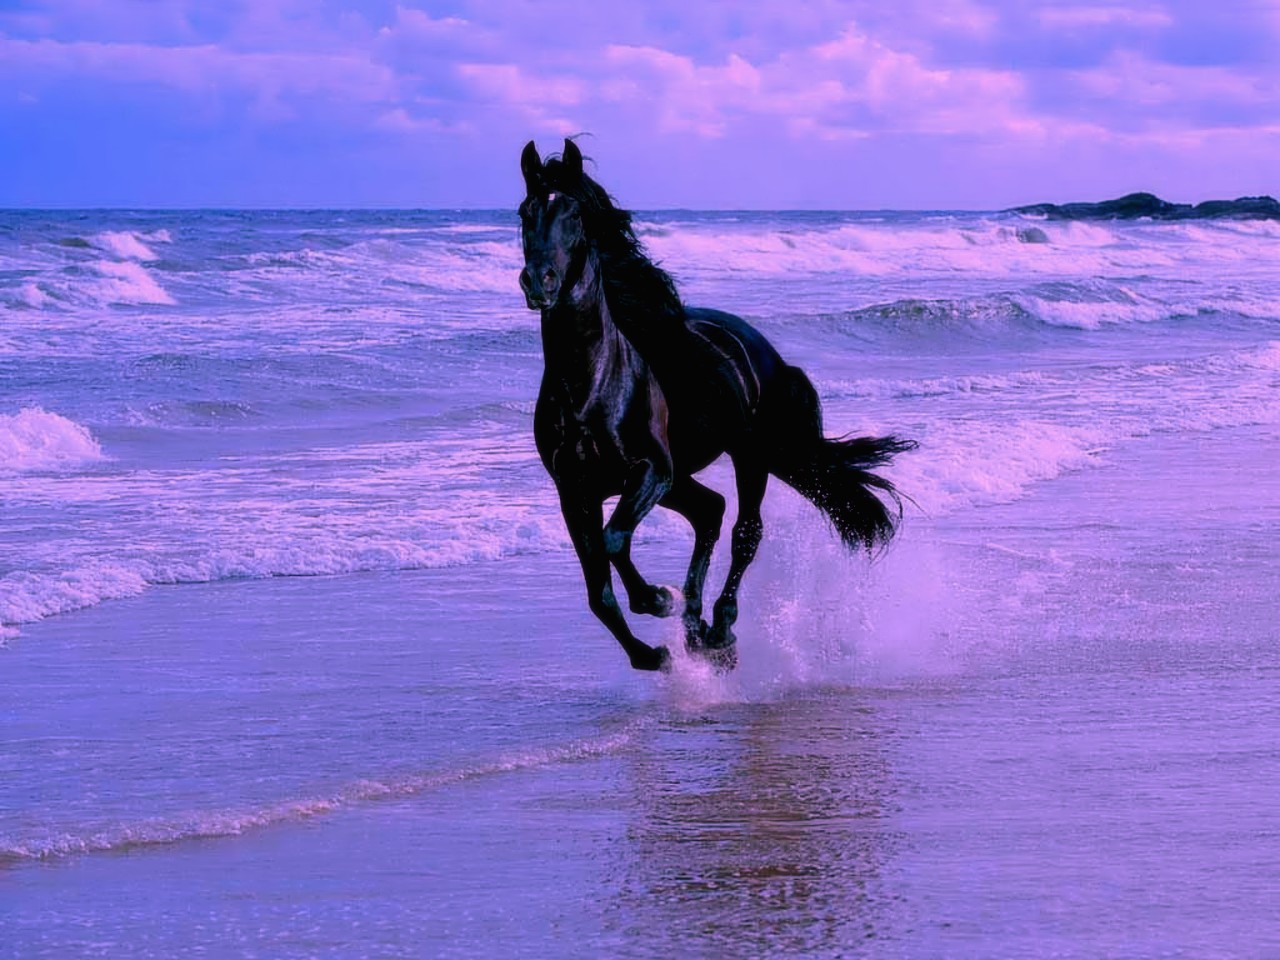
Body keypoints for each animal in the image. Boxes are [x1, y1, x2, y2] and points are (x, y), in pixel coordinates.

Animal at [519, 138, 915, 672]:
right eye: (525, 212)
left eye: (575, 215)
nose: (539, 282)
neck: (591, 384)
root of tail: (764, 352)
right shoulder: (575, 491)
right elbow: (597, 590)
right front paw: (652, 654)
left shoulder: (651, 469)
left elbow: (614, 540)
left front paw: (656, 599)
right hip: (683, 478)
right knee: (710, 511)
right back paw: (695, 630)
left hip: (748, 455)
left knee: (745, 530)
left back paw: (719, 629)